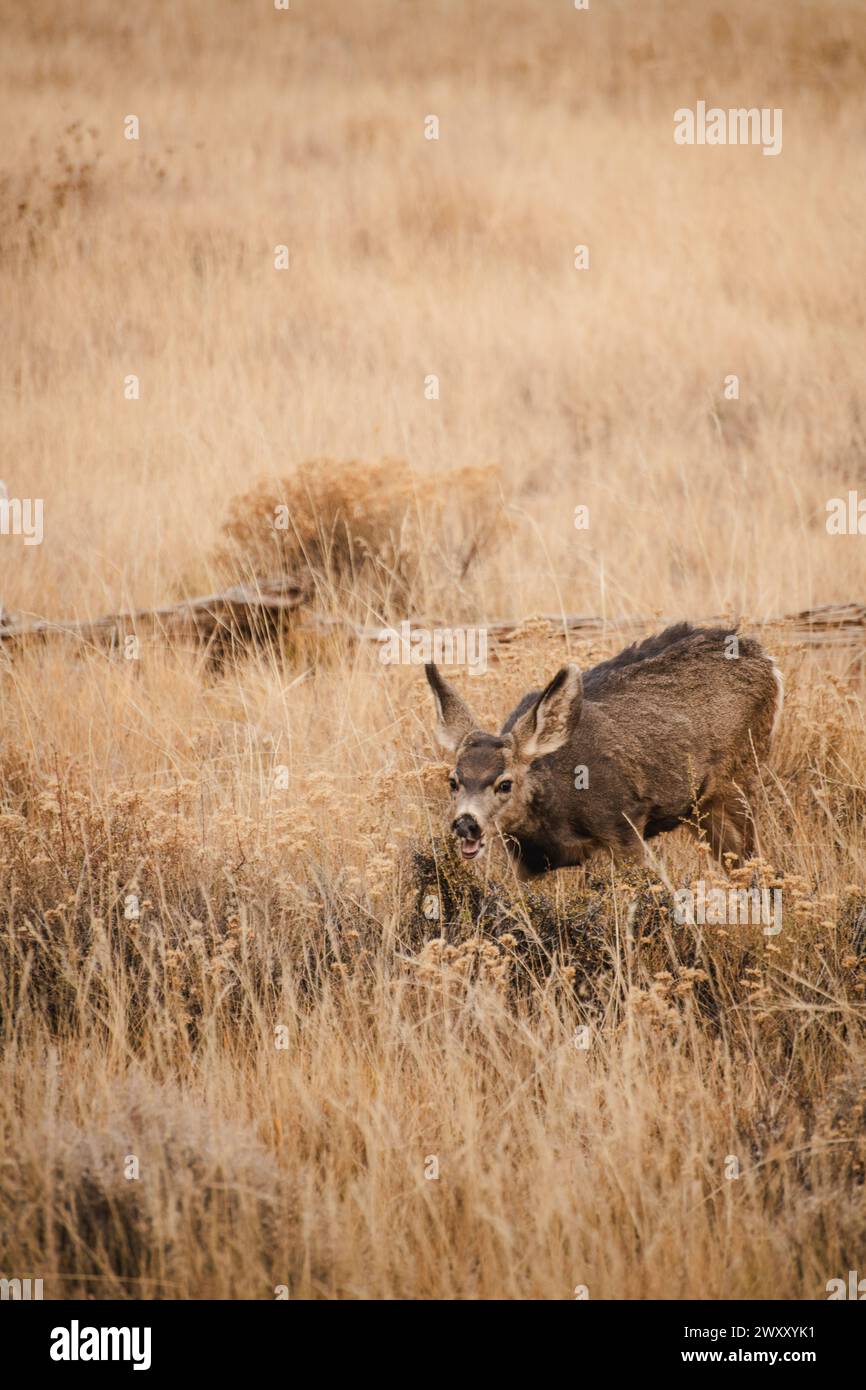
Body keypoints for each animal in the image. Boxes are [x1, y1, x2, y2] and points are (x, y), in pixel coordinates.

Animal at [425, 623, 783, 879]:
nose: (466, 824)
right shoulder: (526, 859)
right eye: (453, 781)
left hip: (739, 777)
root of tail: (767, 659)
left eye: (505, 783)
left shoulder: (625, 824)